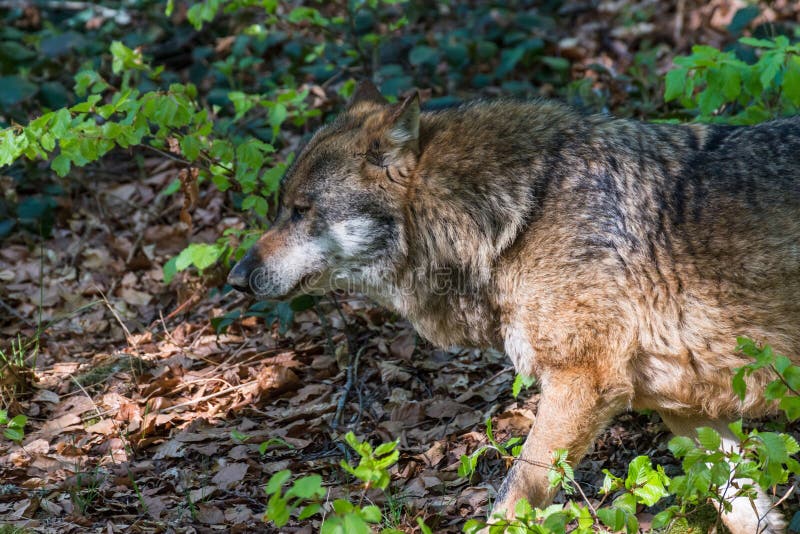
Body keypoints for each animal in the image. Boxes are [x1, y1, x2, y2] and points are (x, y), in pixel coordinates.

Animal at [228, 80, 800, 533]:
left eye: (302, 210)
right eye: (282, 208)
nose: (234, 279)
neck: (518, 218)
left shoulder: (582, 383)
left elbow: (512, 498)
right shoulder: (682, 407)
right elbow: (741, 501)